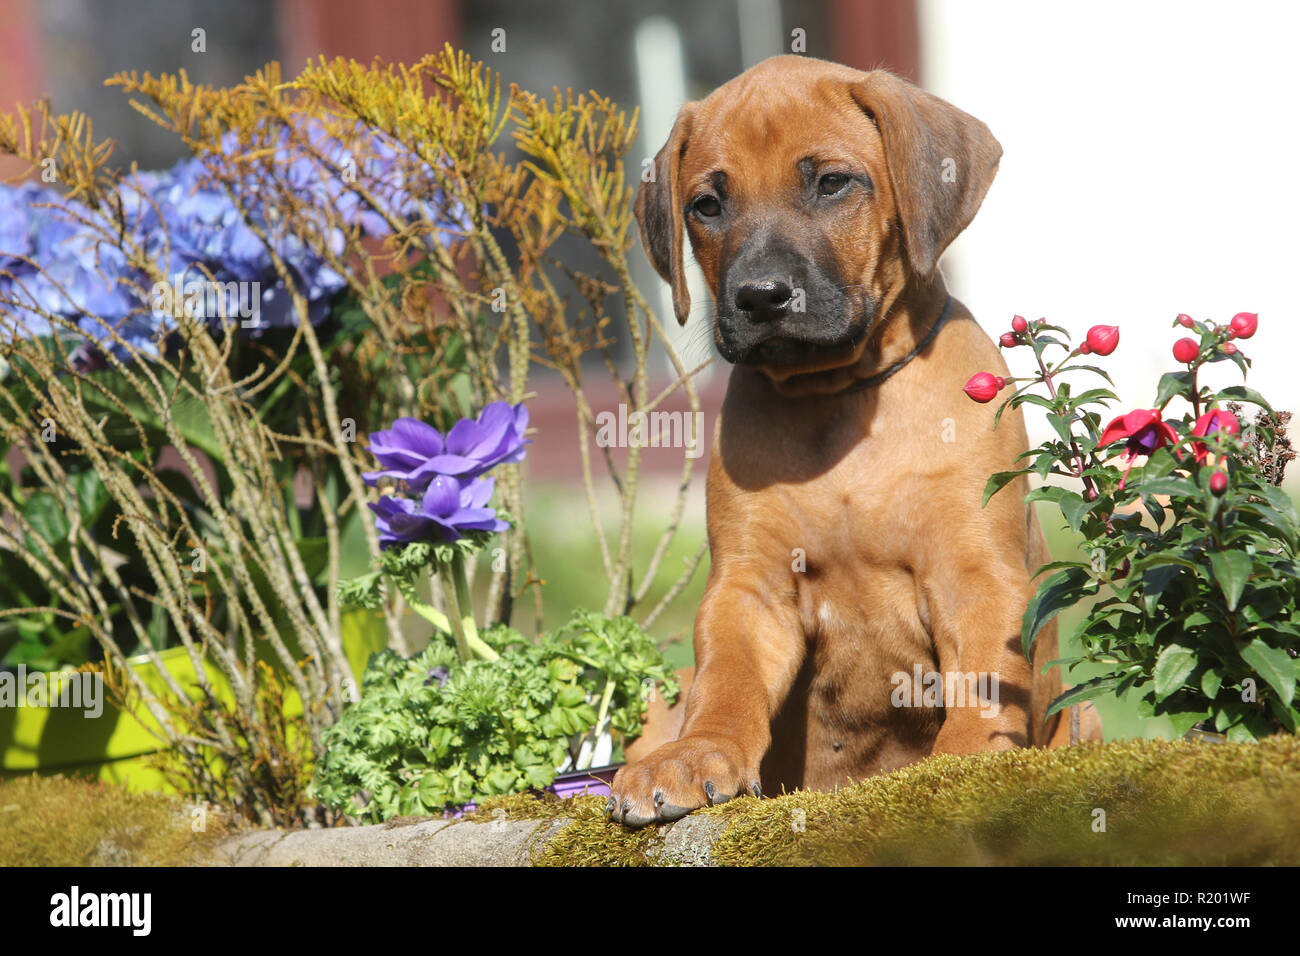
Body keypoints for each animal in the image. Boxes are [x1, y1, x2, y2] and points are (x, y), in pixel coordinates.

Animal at [608, 55, 1097, 832]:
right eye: (706, 205)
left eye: (832, 183)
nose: (761, 296)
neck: (837, 398)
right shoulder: (750, 586)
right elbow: (727, 678)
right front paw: (699, 752)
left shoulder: (975, 573)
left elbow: (985, 678)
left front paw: (963, 764)